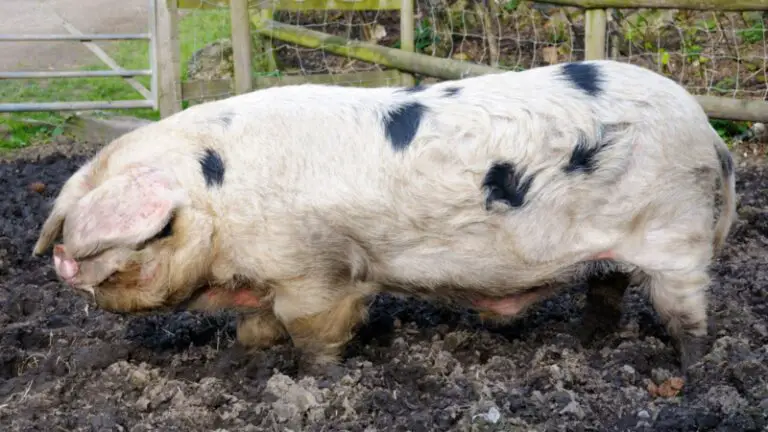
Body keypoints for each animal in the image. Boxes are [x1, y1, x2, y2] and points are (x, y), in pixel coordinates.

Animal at [32, 59, 736, 373]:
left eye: (147, 236)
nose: (61, 259)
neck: (219, 200)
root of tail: (710, 134)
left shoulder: (314, 270)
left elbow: (315, 330)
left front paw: (312, 378)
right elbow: (256, 327)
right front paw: (247, 357)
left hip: (676, 235)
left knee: (687, 312)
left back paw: (690, 374)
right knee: (606, 287)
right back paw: (581, 344)